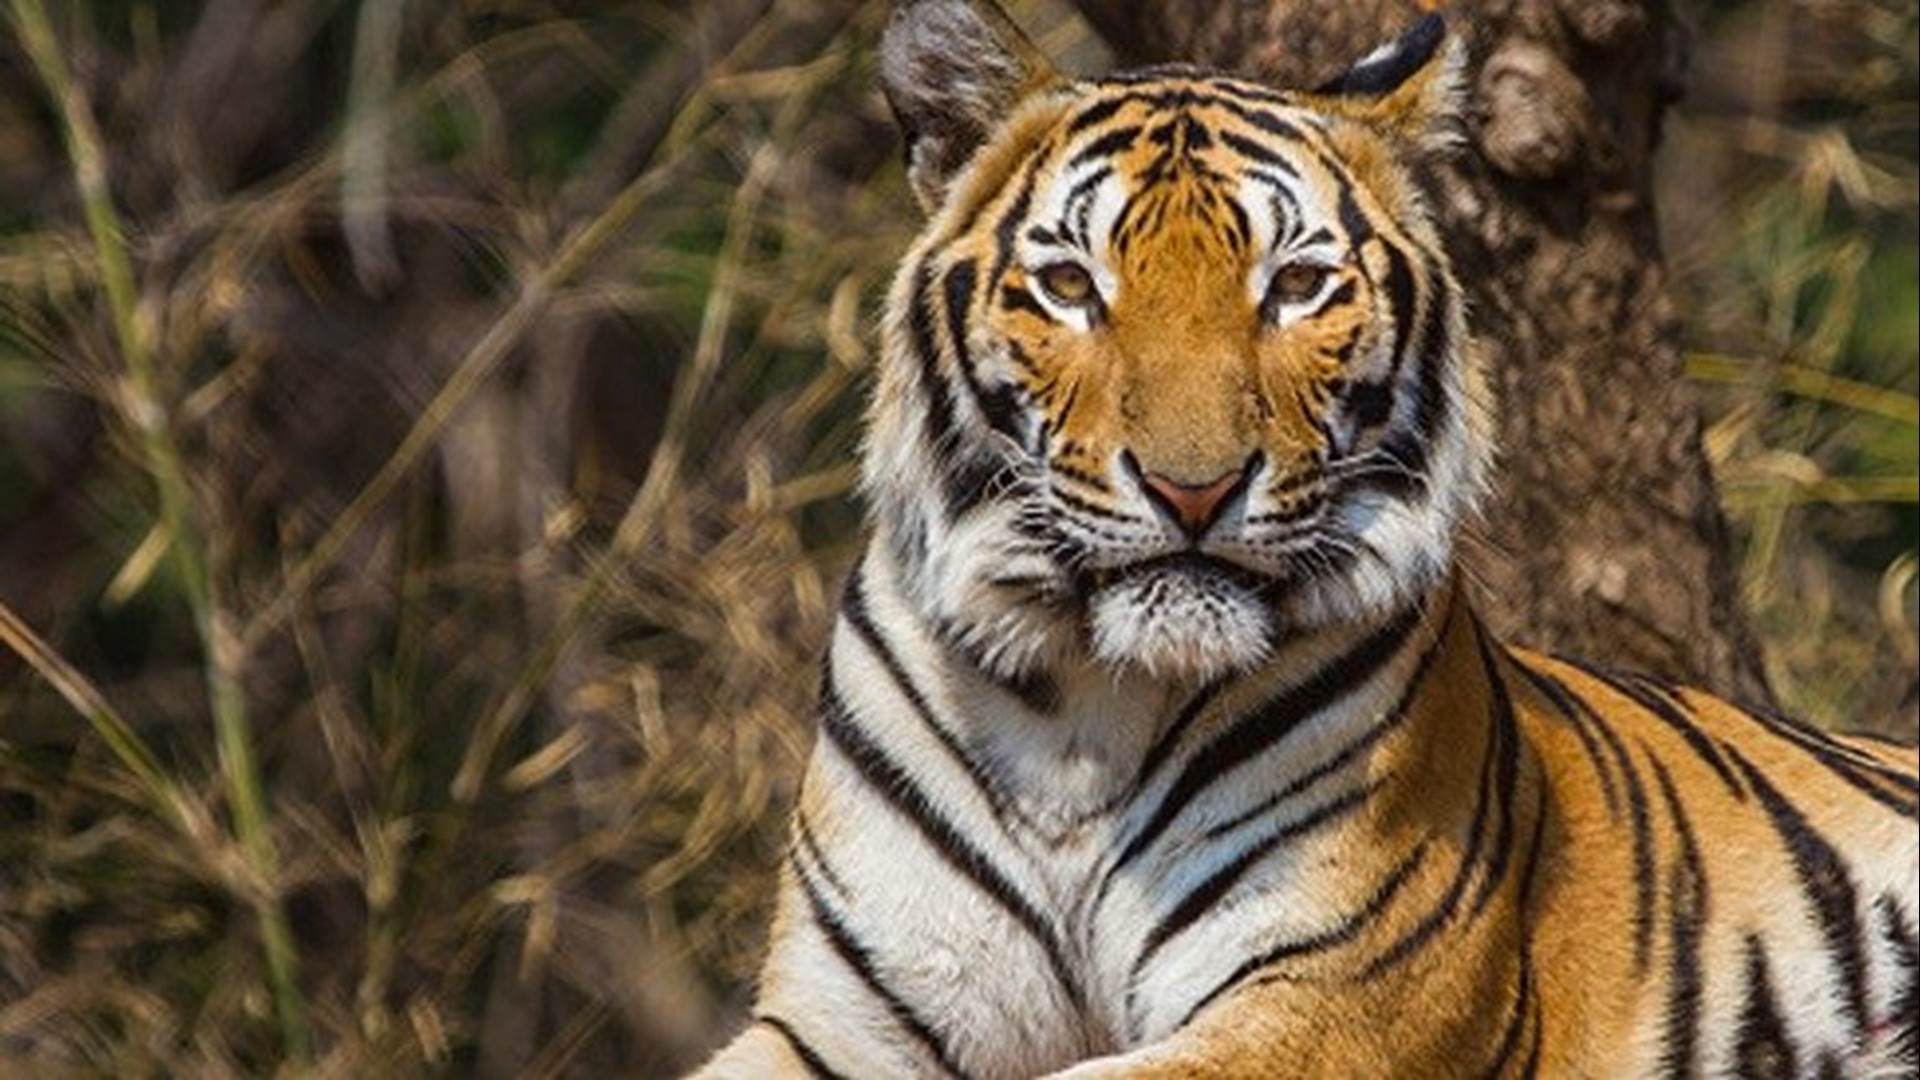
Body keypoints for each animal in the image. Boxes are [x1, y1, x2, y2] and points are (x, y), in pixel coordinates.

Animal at [693, 2, 1920, 1076]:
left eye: (1295, 286)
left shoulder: (1341, 1000)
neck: (1084, 709)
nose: (1193, 490)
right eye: (1071, 285)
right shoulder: (842, 1019)